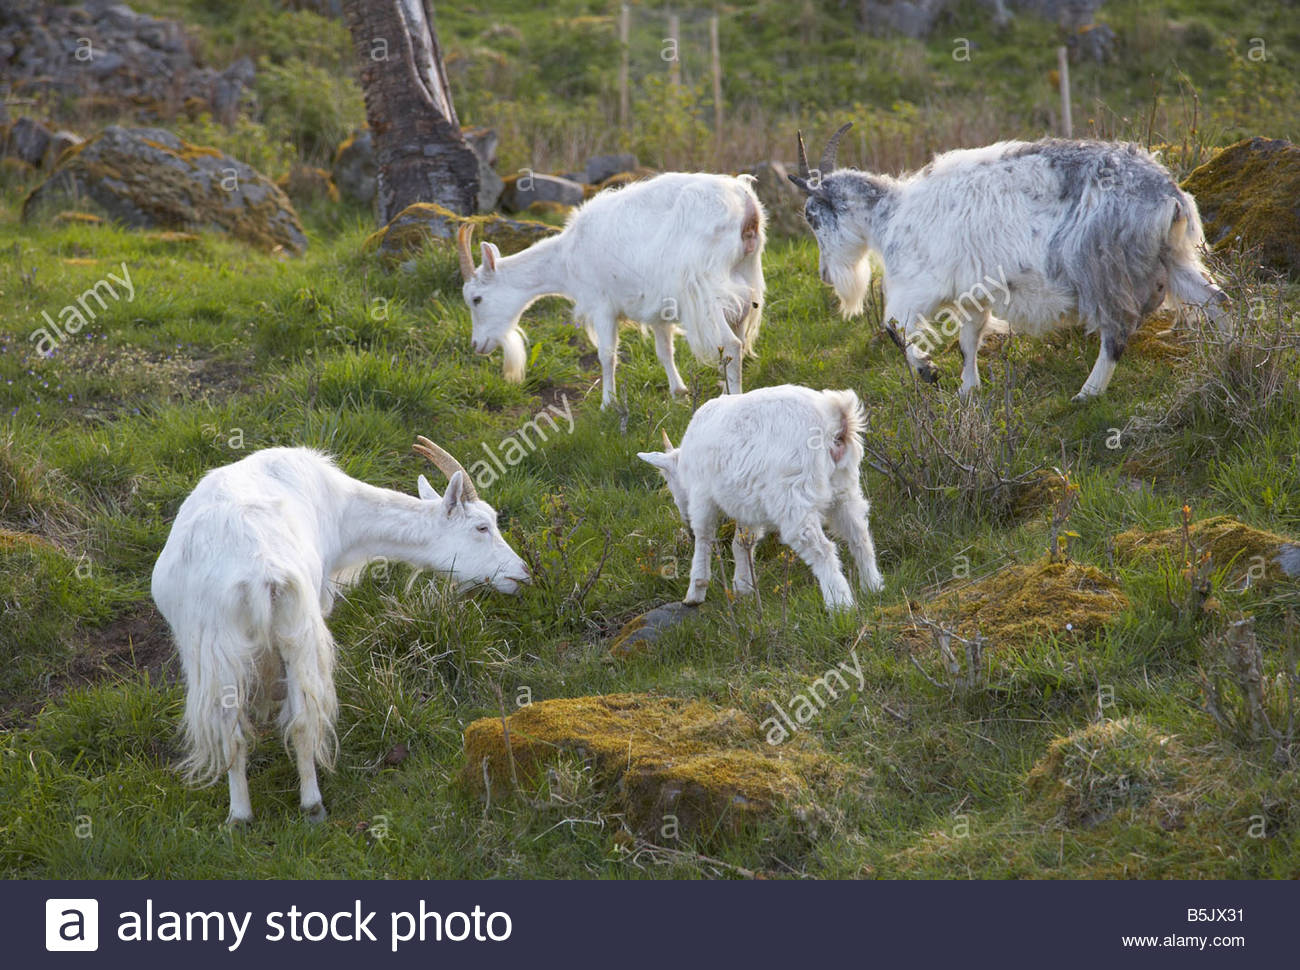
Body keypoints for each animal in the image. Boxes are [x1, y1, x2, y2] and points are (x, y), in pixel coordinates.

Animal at [151, 438, 529, 824]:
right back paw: (306, 805)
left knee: (238, 729)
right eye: (482, 527)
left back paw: (246, 815)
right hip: (291, 628)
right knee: (296, 719)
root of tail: (260, 572)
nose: (522, 573)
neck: (341, 509)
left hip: (221, 645)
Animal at [458, 172, 766, 407]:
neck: (566, 256)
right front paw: (678, 392)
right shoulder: (658, 307)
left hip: (703, 290)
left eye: (476, 299)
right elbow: (664, 350)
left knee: (731, 345)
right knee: (739, 334)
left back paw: (731, 399)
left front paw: (608, 403)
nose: (476, 345)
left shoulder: (601, 305)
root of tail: (746, 203)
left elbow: (606, 355)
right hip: (744, 285)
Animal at [637, 384, 884, 611]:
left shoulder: (702, 496)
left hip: (793, 494)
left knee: (822, 549)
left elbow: (704, 537)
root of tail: (835, 419)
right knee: (859, 535)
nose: (684, 521)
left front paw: (695, 591)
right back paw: (872, 586)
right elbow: (742, 542)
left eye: (669, 484)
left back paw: (840, 606)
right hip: (844, 487)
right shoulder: (745, 504)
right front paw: (743, 586)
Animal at [789, 125, 1229, 401]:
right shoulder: (971, 293)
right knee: (1216, 300)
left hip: (1103, 268)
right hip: (1174, 258)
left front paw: (929, 372)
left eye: (812, 217)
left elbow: (896, 329)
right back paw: (1230, 353)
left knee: (1116, 331)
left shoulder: (919, 287)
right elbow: (968, 340)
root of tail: (1169, 195)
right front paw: (967, 389)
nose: (824, 275)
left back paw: (1087, 393)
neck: (889, 215)